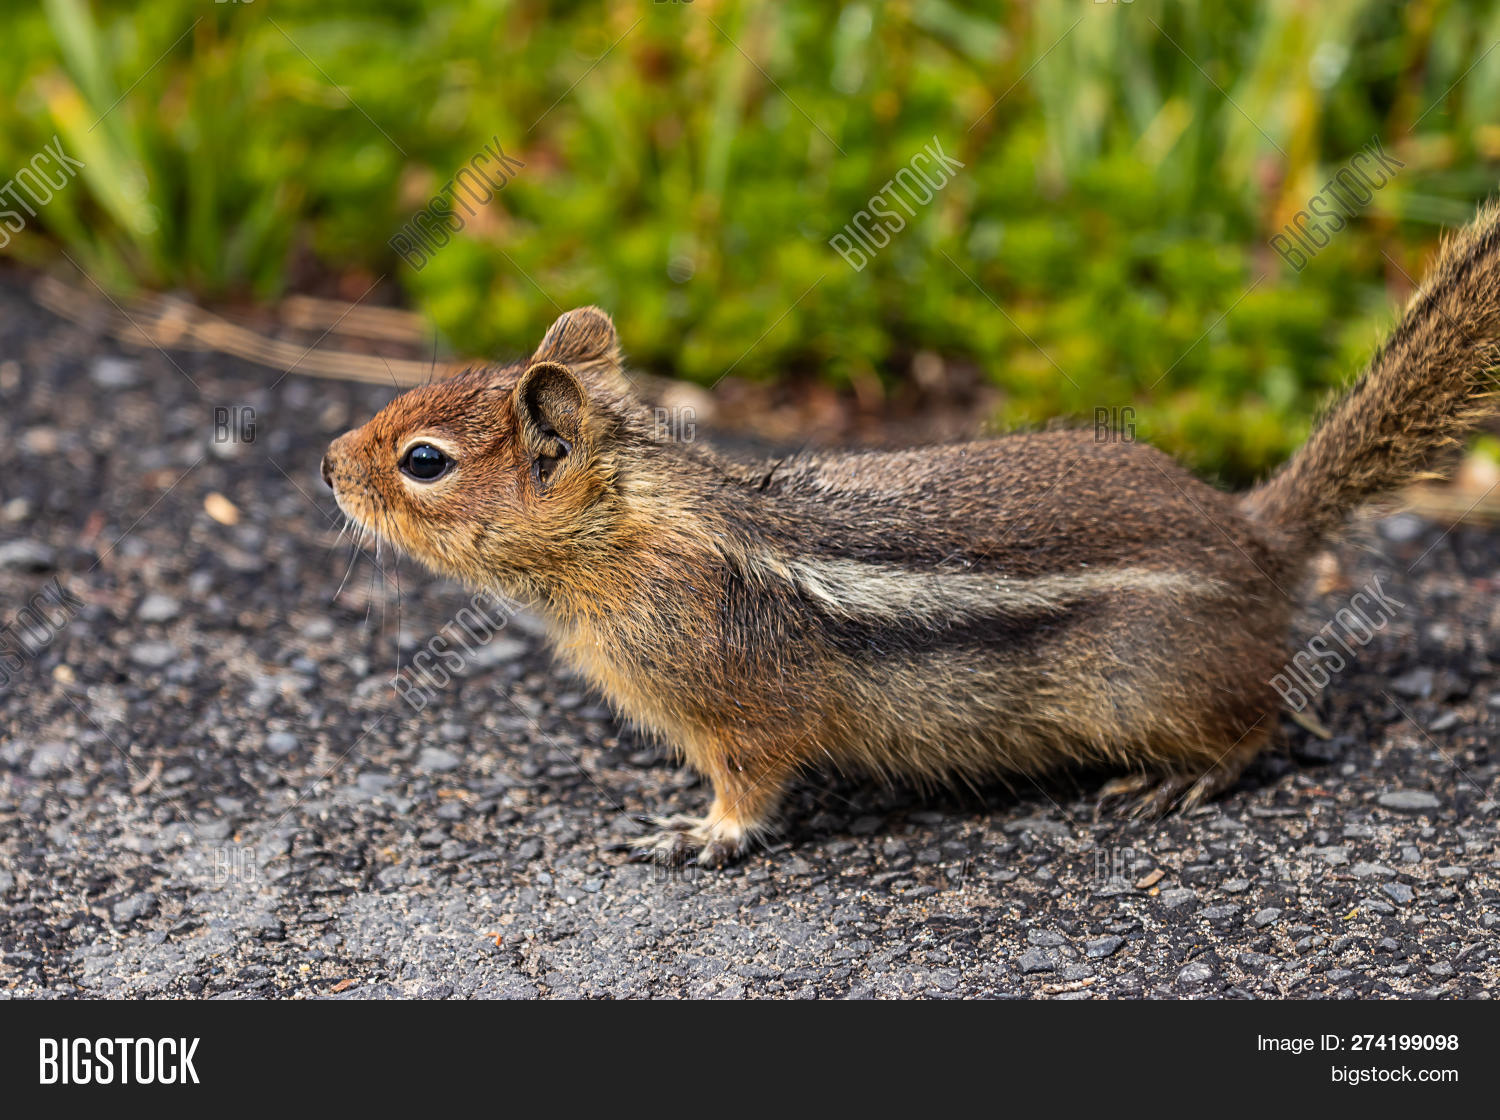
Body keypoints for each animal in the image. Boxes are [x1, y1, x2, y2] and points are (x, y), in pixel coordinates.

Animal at [323, 200, 1500, 866]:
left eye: (422, 461)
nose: (328, 463)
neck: (629, 535)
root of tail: (1257, 536)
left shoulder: (744, 708)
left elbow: (754, 780)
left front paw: (704, 834)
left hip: (1146, 686)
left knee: (1257, 727)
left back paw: (1186, 777)